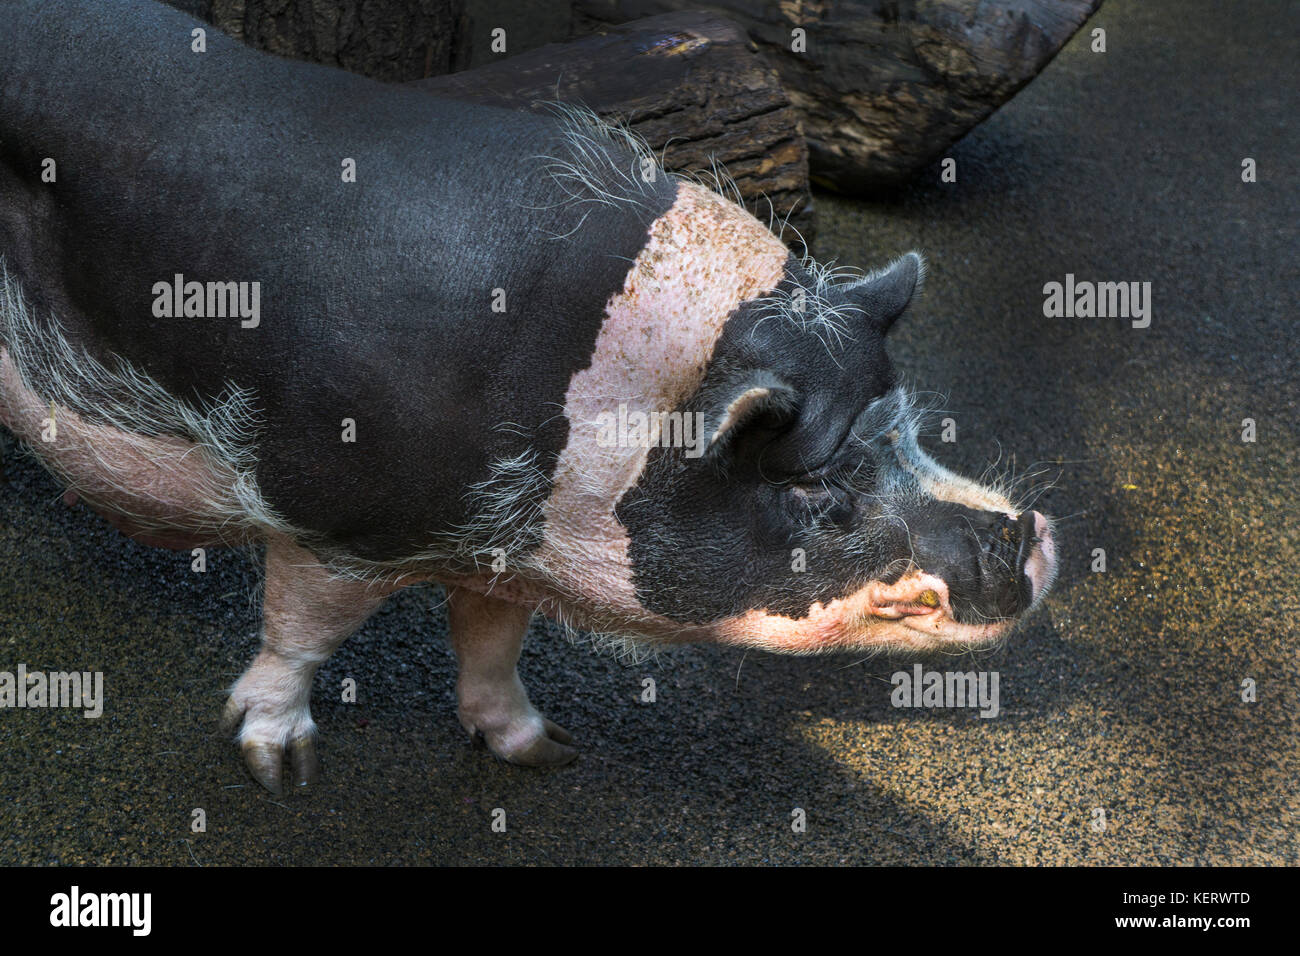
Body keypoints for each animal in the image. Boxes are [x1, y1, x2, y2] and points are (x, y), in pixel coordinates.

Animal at [0, 0, 1057, 793]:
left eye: (907, 429)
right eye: (817, 491)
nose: (1027, 536)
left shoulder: (501, 549)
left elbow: (492, 647)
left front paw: (544, 754)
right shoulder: (334, 514)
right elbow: (302, 634)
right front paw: (278, 771)